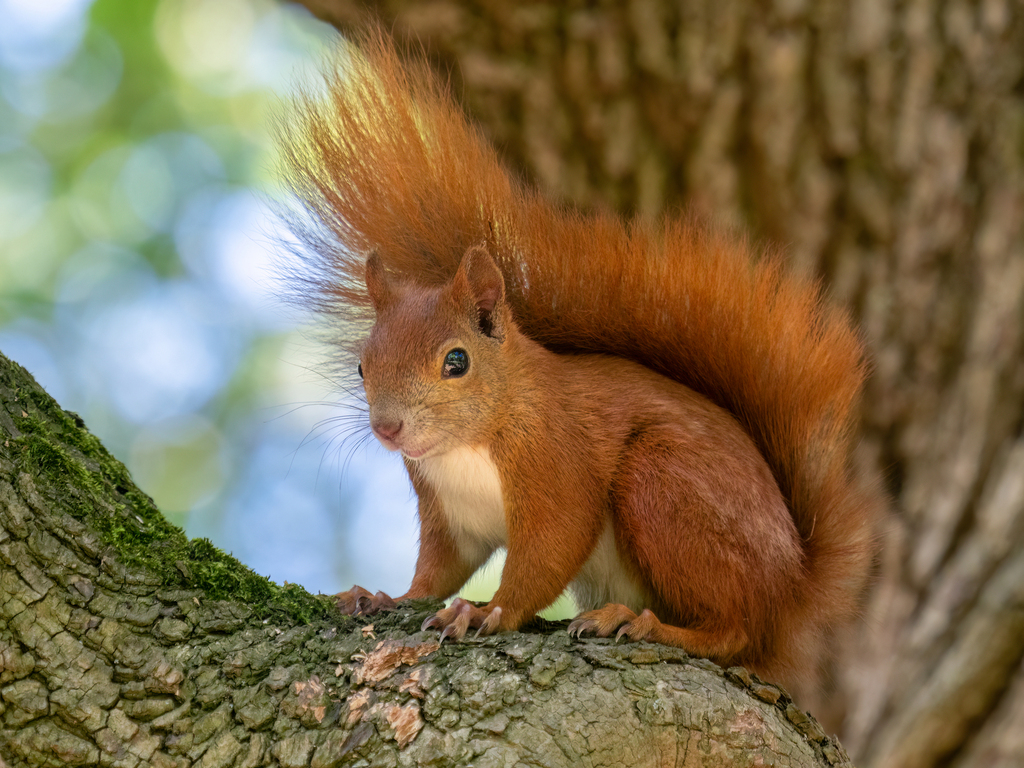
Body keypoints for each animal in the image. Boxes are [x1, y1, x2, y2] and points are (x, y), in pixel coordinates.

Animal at [278, 30, 879, 686]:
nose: (389, 429)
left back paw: (645, 624)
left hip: (665, 486)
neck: (470, 441)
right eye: (362, 366)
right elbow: (438, 568)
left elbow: (551, 546)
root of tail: (789, 589)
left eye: (457, 361)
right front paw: (386, 597)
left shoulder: (558, 461)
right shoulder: (447, 510)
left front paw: (486, 611)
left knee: (733, 631)